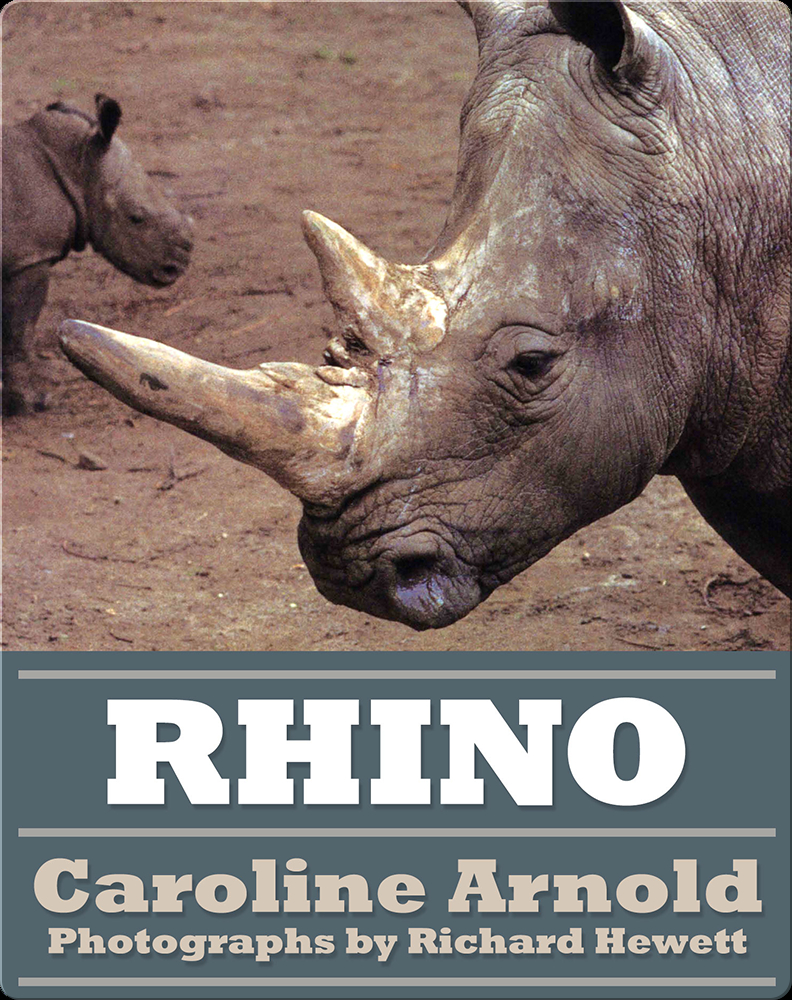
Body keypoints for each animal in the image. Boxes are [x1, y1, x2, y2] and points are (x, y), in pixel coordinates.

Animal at [2, 94, 193, 414]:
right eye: (135, 218)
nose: (176, 267)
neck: (77, 165)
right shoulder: (29, 258)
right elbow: (19, 334)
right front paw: (32, 403)